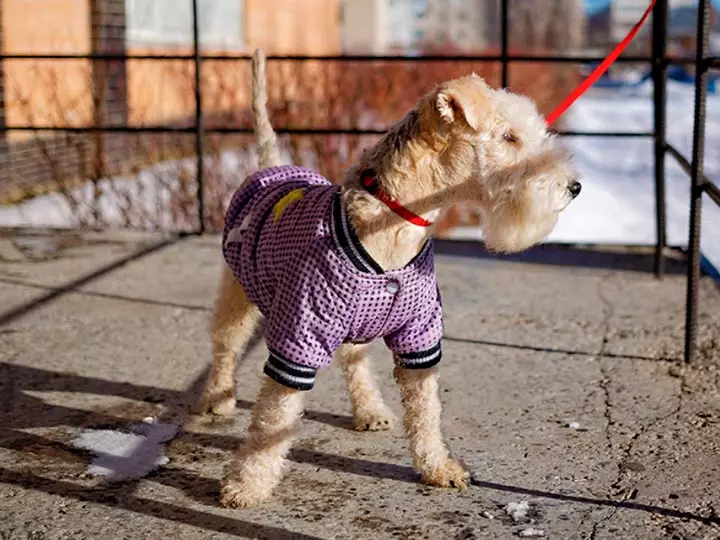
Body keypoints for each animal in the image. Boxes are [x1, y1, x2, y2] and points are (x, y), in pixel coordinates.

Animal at [194, 48, 584, 508]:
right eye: (509, 138)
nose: (574, 187)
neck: (393, 222)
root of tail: (273, 167)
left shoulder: (419, 334)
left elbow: (426, 412)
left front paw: (439, 468)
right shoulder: (301, 336)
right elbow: (274, 419)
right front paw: (246, 486)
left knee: (354, 361)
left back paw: (371, 411)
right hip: (239, 290)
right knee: (226, 343)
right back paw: (216, 398)